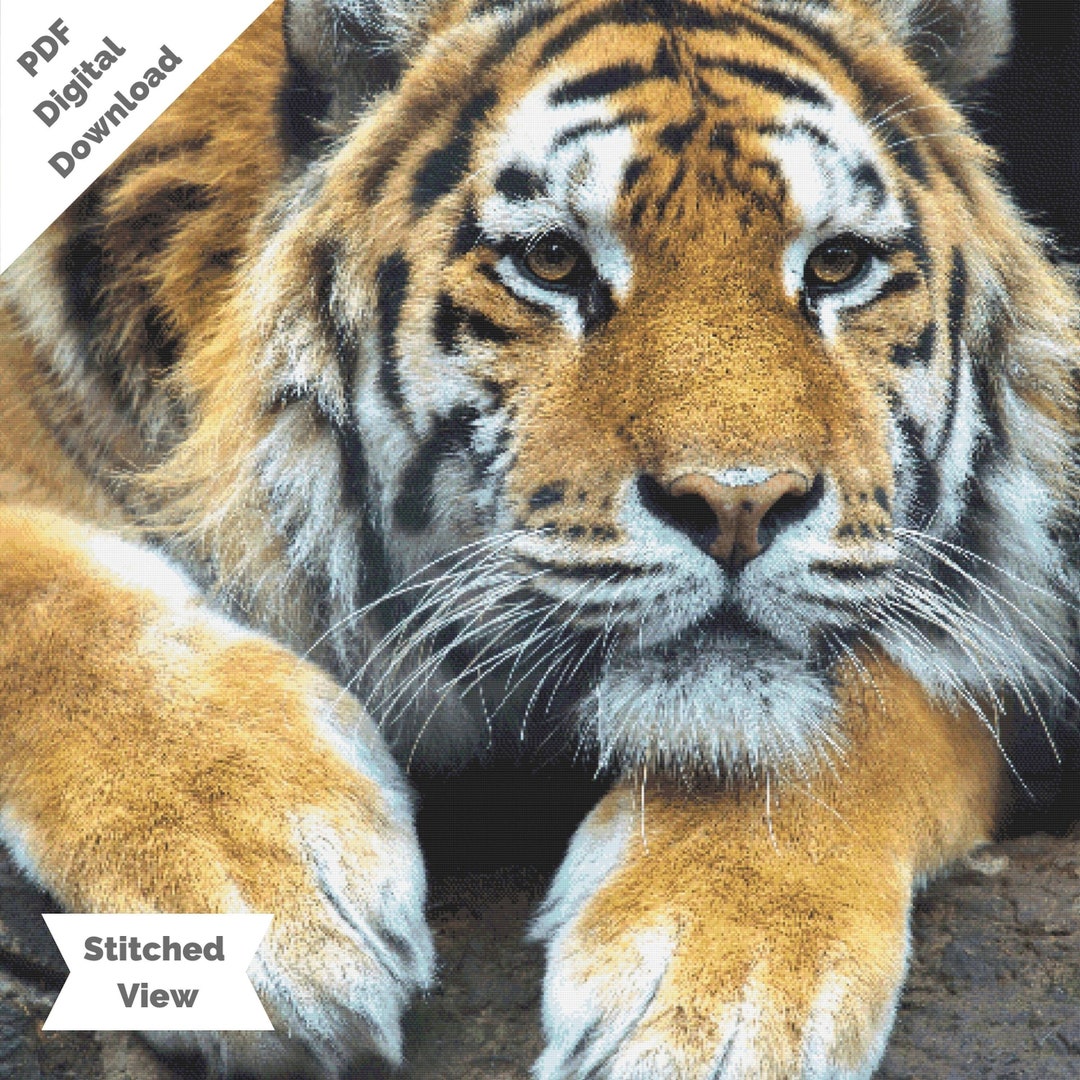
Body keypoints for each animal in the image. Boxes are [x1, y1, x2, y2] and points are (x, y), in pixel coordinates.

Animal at [0, 0, 1076, 1076]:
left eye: (838, 265)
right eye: (551, 262)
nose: (738, 505)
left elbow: (877, 699)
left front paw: (722, 990)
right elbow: (53, 600)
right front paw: (257, 879)